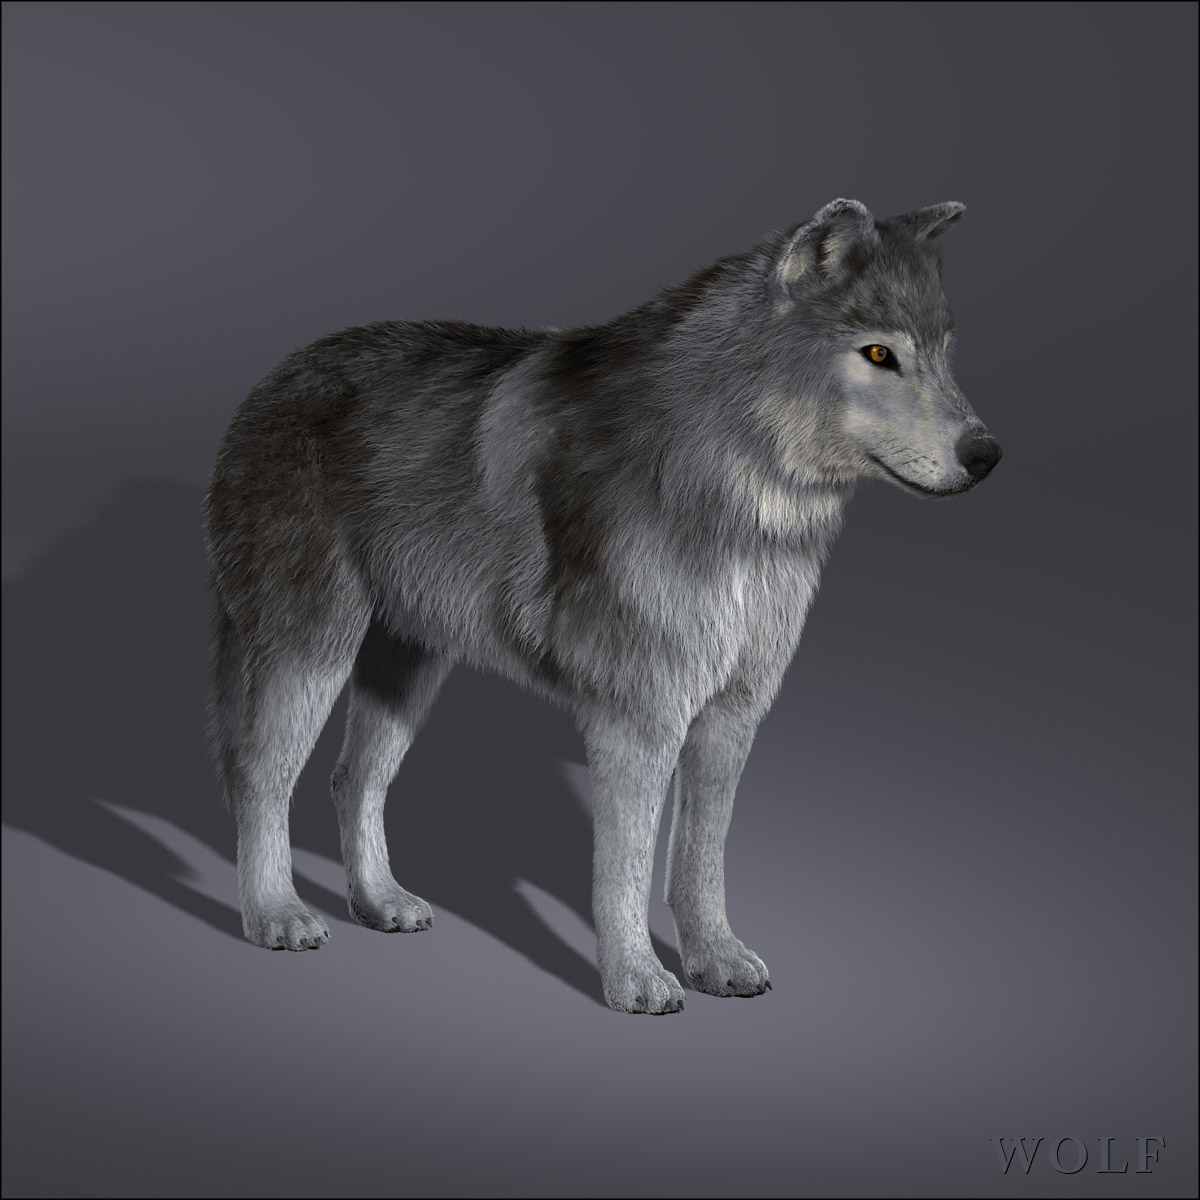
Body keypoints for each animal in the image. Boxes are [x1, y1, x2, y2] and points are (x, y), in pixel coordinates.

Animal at [203, 198, 1002, 1015]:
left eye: (944, 351)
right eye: (879, 355)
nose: (987, 454)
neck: (731, 484)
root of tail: (273, 378)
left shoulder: (730, 717)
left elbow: (700, 861)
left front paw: (715, 961)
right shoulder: (638, 718)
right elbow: (625, 867)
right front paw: (637, 980)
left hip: (410, 667)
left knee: (353, 778)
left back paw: (380, 902)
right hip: (312, 650)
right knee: (258, 775)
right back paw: (274, 914)